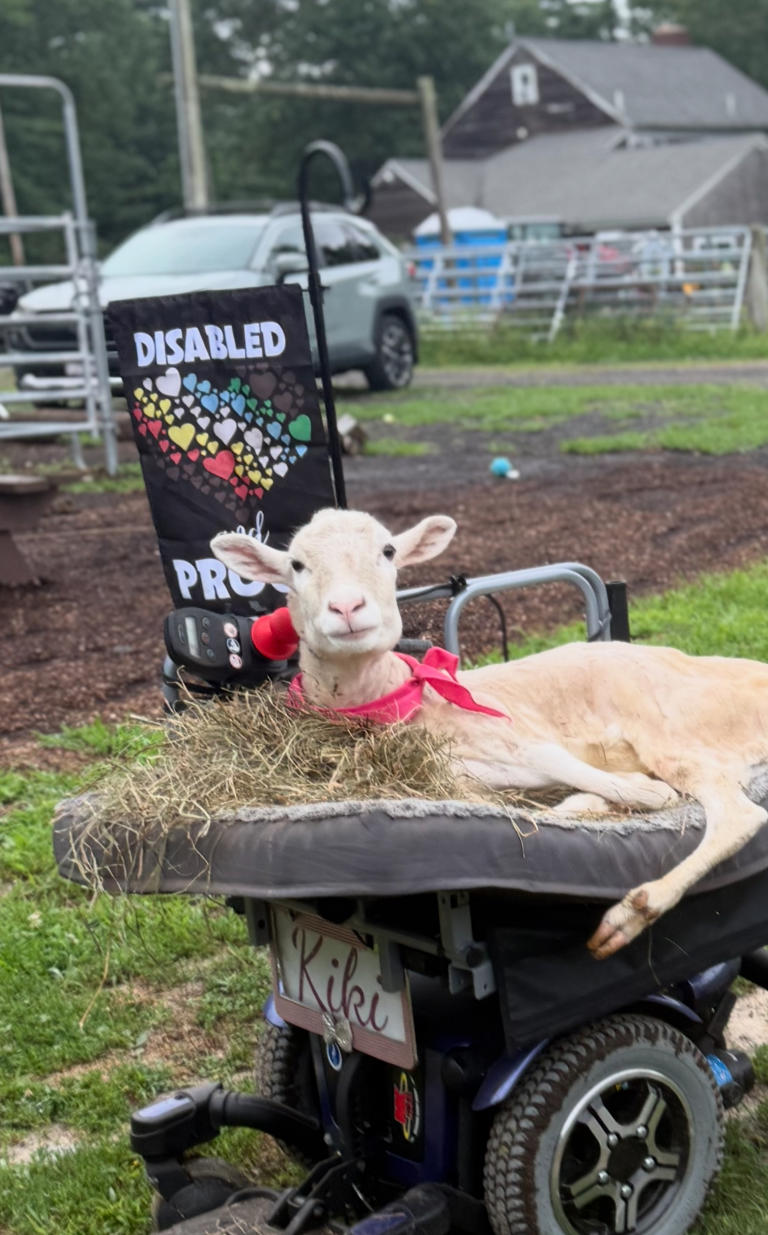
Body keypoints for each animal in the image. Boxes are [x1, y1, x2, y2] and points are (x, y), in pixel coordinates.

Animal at [212, 507, 768, 960]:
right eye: (296, 565)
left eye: (388, 551)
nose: (347, 608)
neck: (405, 698)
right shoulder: (459, 780)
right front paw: (601, 799)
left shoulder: (517, 736)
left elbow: (571, 768)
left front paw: (641, 793)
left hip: (667, 728)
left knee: (738, 814)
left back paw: (630, 908)